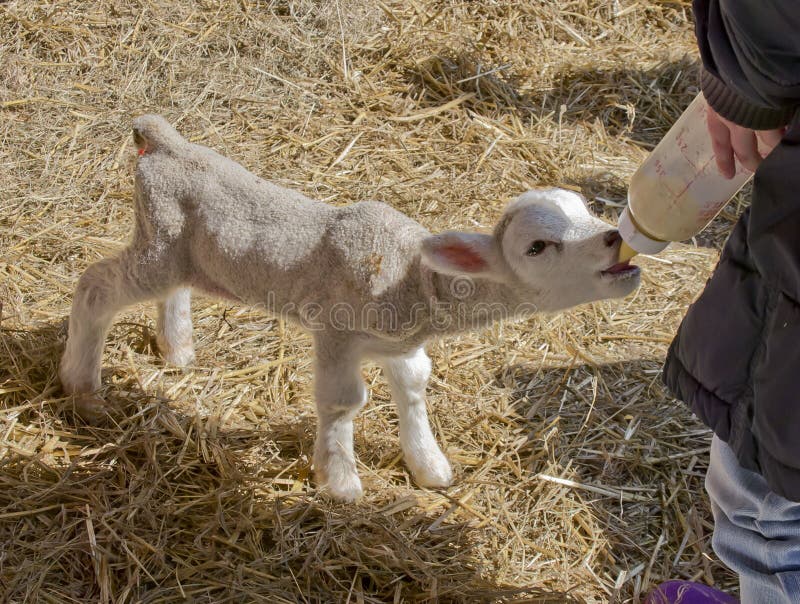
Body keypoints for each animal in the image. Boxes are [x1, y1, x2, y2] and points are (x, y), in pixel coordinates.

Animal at [59, 115, 641, 502]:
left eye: (585, 209)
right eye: (537, 247)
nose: (616, 238)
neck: (411, 277)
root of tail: (161, 142)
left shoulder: (399, 344)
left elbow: (414, 387)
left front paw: (429, 465)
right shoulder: (336, 333)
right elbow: (343, 402)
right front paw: (340, 482)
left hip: (178, 246)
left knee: (174, 287)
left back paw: (176, 348)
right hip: (157, 243)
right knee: (95, 287)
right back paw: (81, 387)